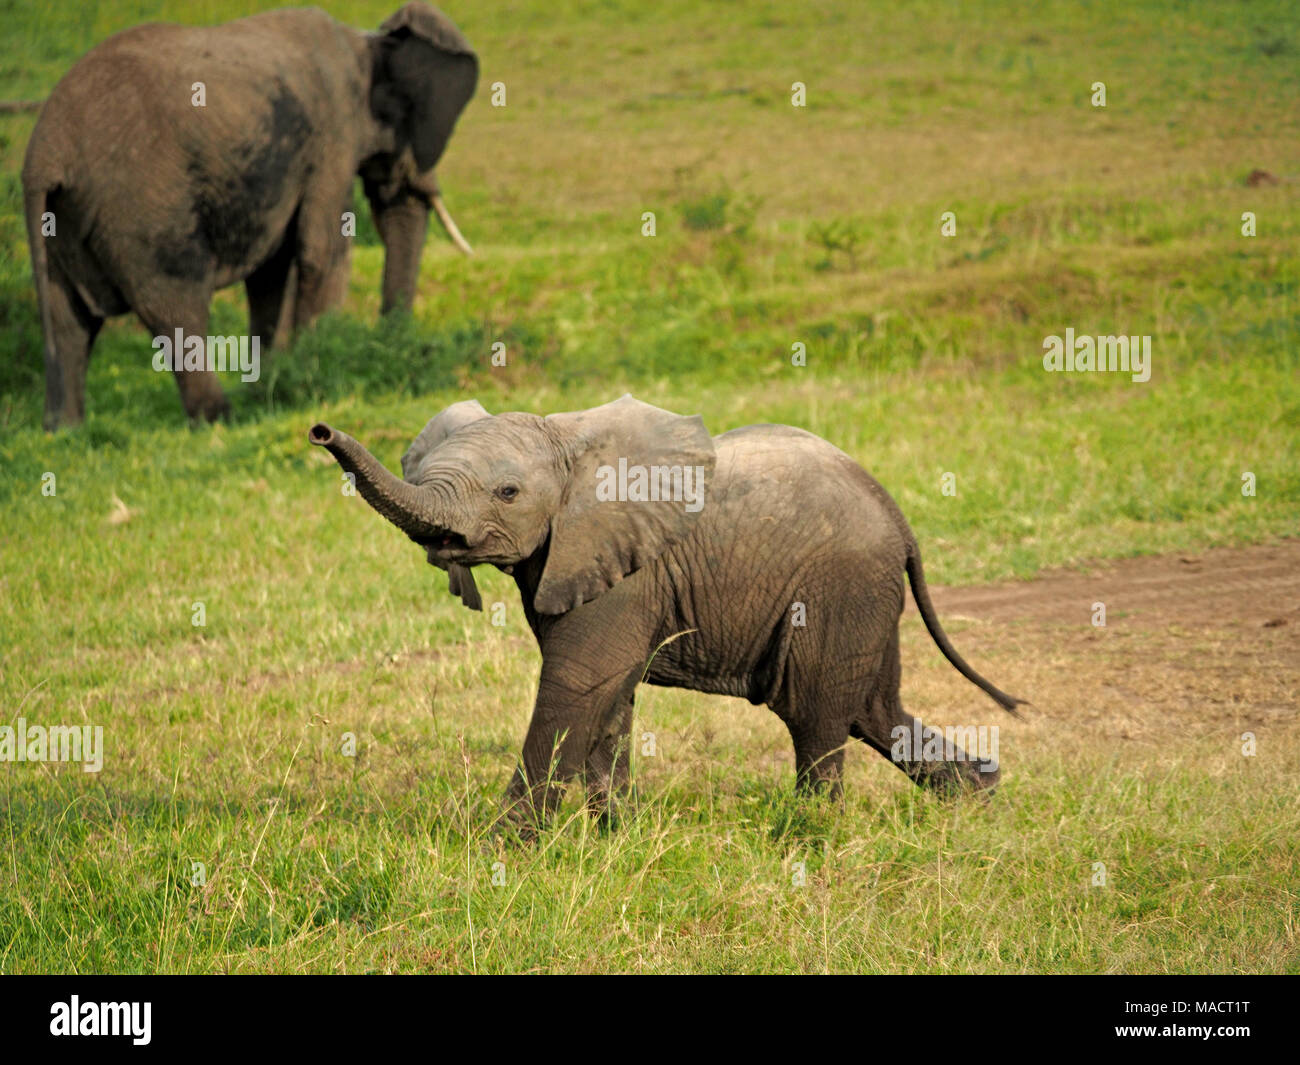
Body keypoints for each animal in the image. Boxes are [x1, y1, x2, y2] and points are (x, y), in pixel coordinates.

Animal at [22, 2, 477, 430]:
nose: (404, 352)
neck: (368, 45)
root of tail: (47, 154)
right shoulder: (333, 135)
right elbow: (323, 253)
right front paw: (311, 381)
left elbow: (271, 272)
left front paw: (274, 386)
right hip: (140, 207)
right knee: (174, 303)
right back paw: (222, 418)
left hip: (59, 220)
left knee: (69, 322)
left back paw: (65, 431)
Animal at [309, 396, 1025, 833]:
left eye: (508, 493)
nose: (319, 430)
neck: (566, 440)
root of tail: (900, 521)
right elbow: (611, 694)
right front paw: (615, 839)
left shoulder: (622, 567)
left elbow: (579, 681)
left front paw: (502, 853)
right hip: (861, 595)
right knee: (873, 710)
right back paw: (981, 800)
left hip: (838, 587)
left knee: (817, 715)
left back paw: (809, 836)